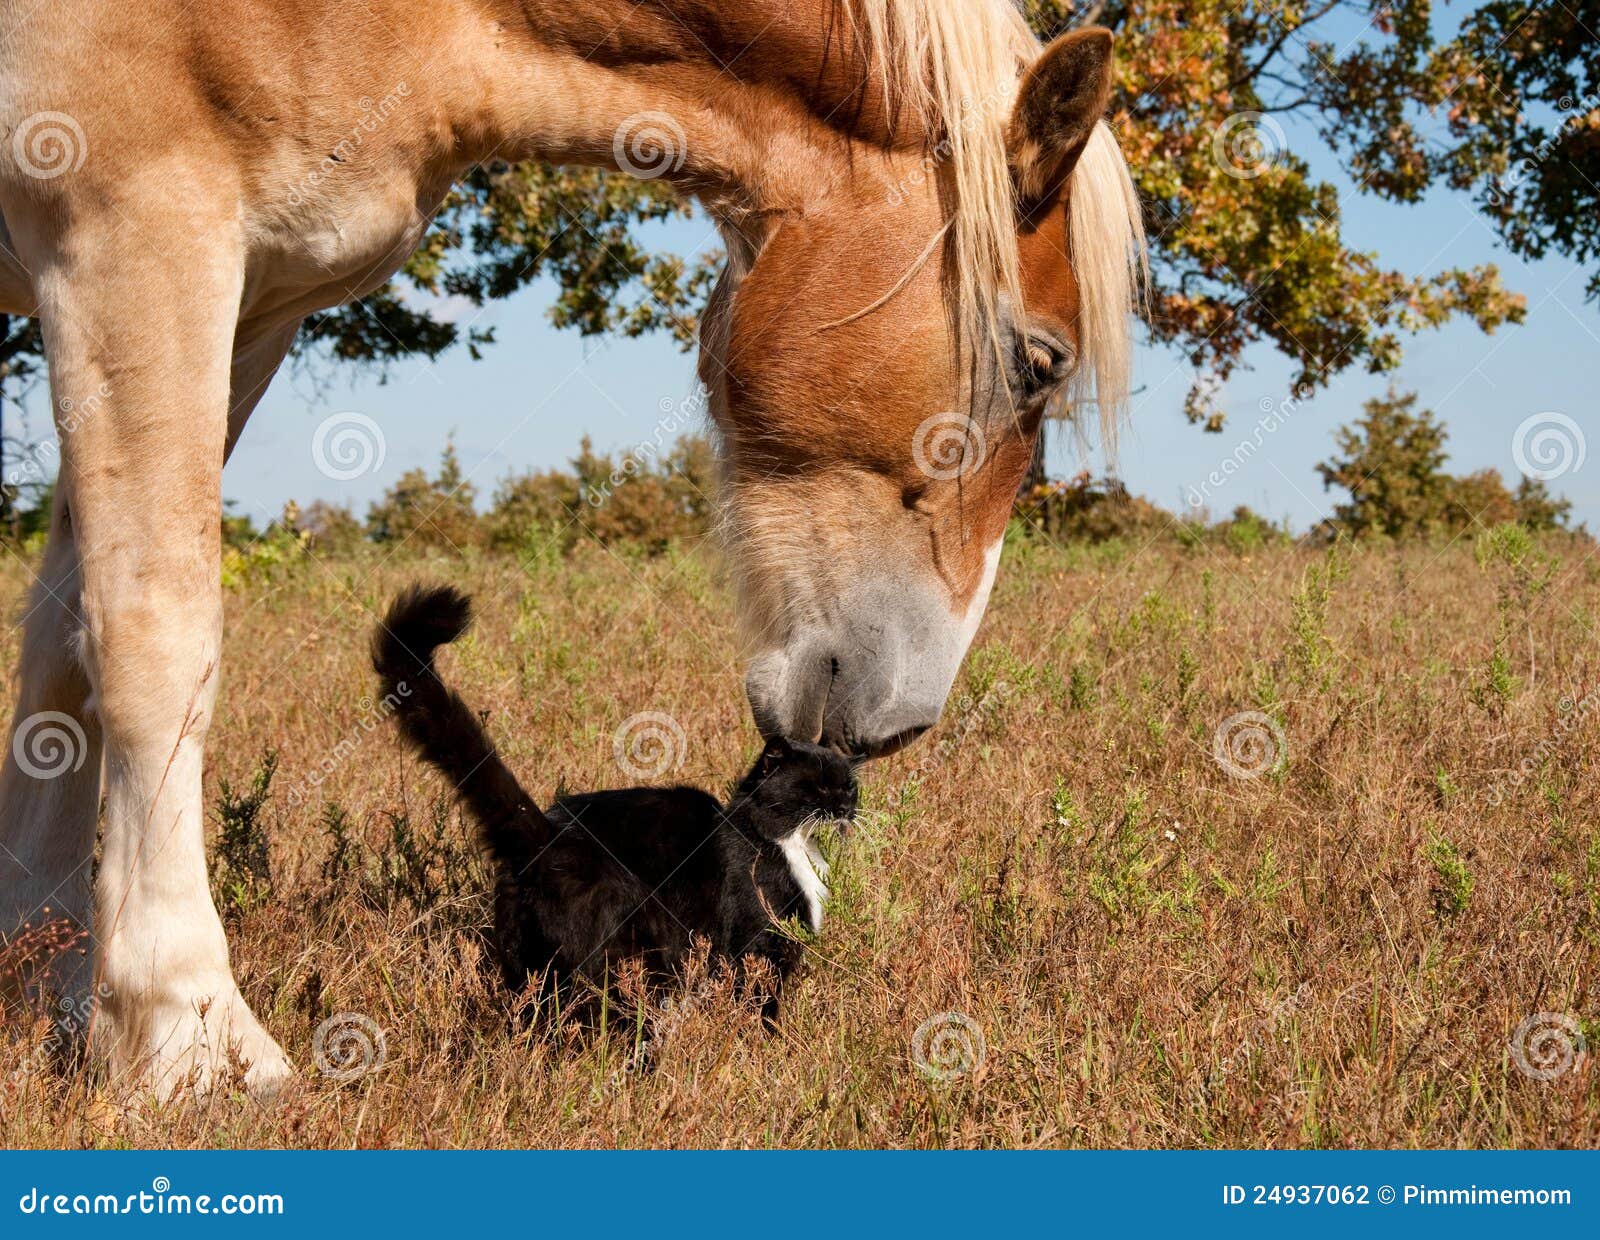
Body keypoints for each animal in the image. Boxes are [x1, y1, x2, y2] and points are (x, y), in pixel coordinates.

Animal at [0, 0, 1143, 1094]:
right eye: (1038, 363)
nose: (900, 723)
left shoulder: (256, 307)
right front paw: (186, 1039)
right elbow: (155, 634)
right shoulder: (141, 237)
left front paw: (51, 986)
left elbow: (62, 649)